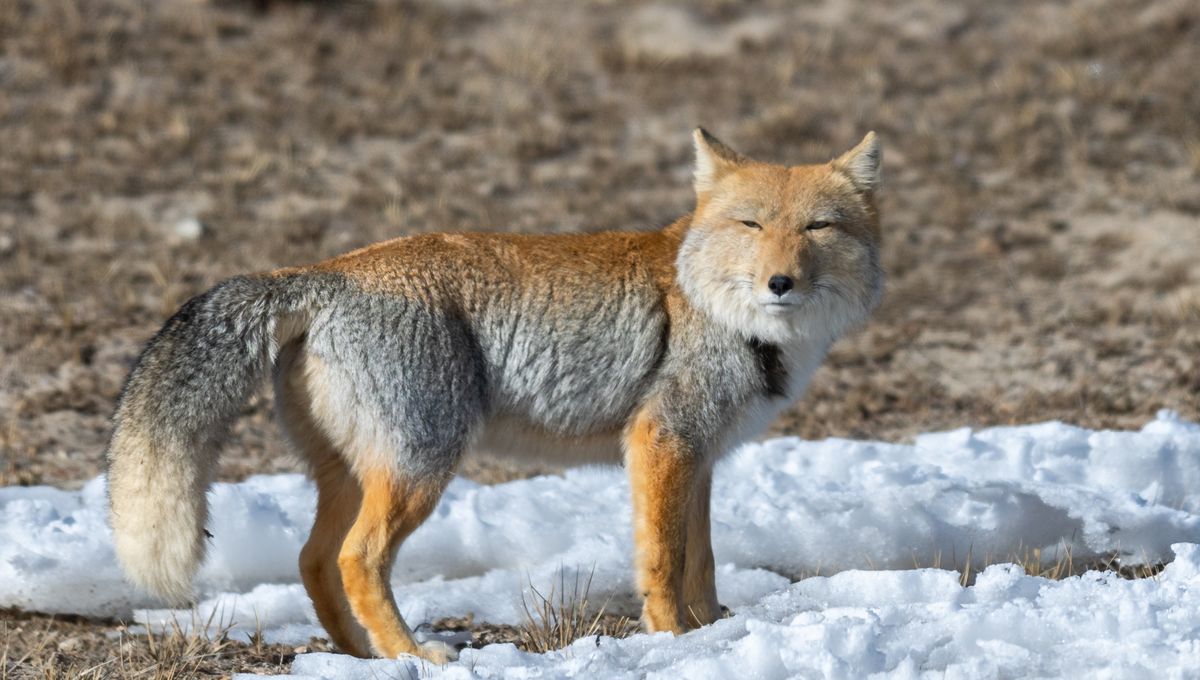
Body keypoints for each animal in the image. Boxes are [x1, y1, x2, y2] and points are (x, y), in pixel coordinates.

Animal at [106, 129, 883, 662]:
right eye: (751, 224)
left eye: (817, 227)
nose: (780, 282)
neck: (720, 311)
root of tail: (324, 271)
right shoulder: (662, 444)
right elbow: (664, 563)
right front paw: (672, 642)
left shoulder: (700, 459)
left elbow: (703, 561)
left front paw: (711, 633)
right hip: (421, 469)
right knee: (358, 560)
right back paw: (413, 655)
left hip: (355, 476)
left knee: (314, 560)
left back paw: (363, 656)